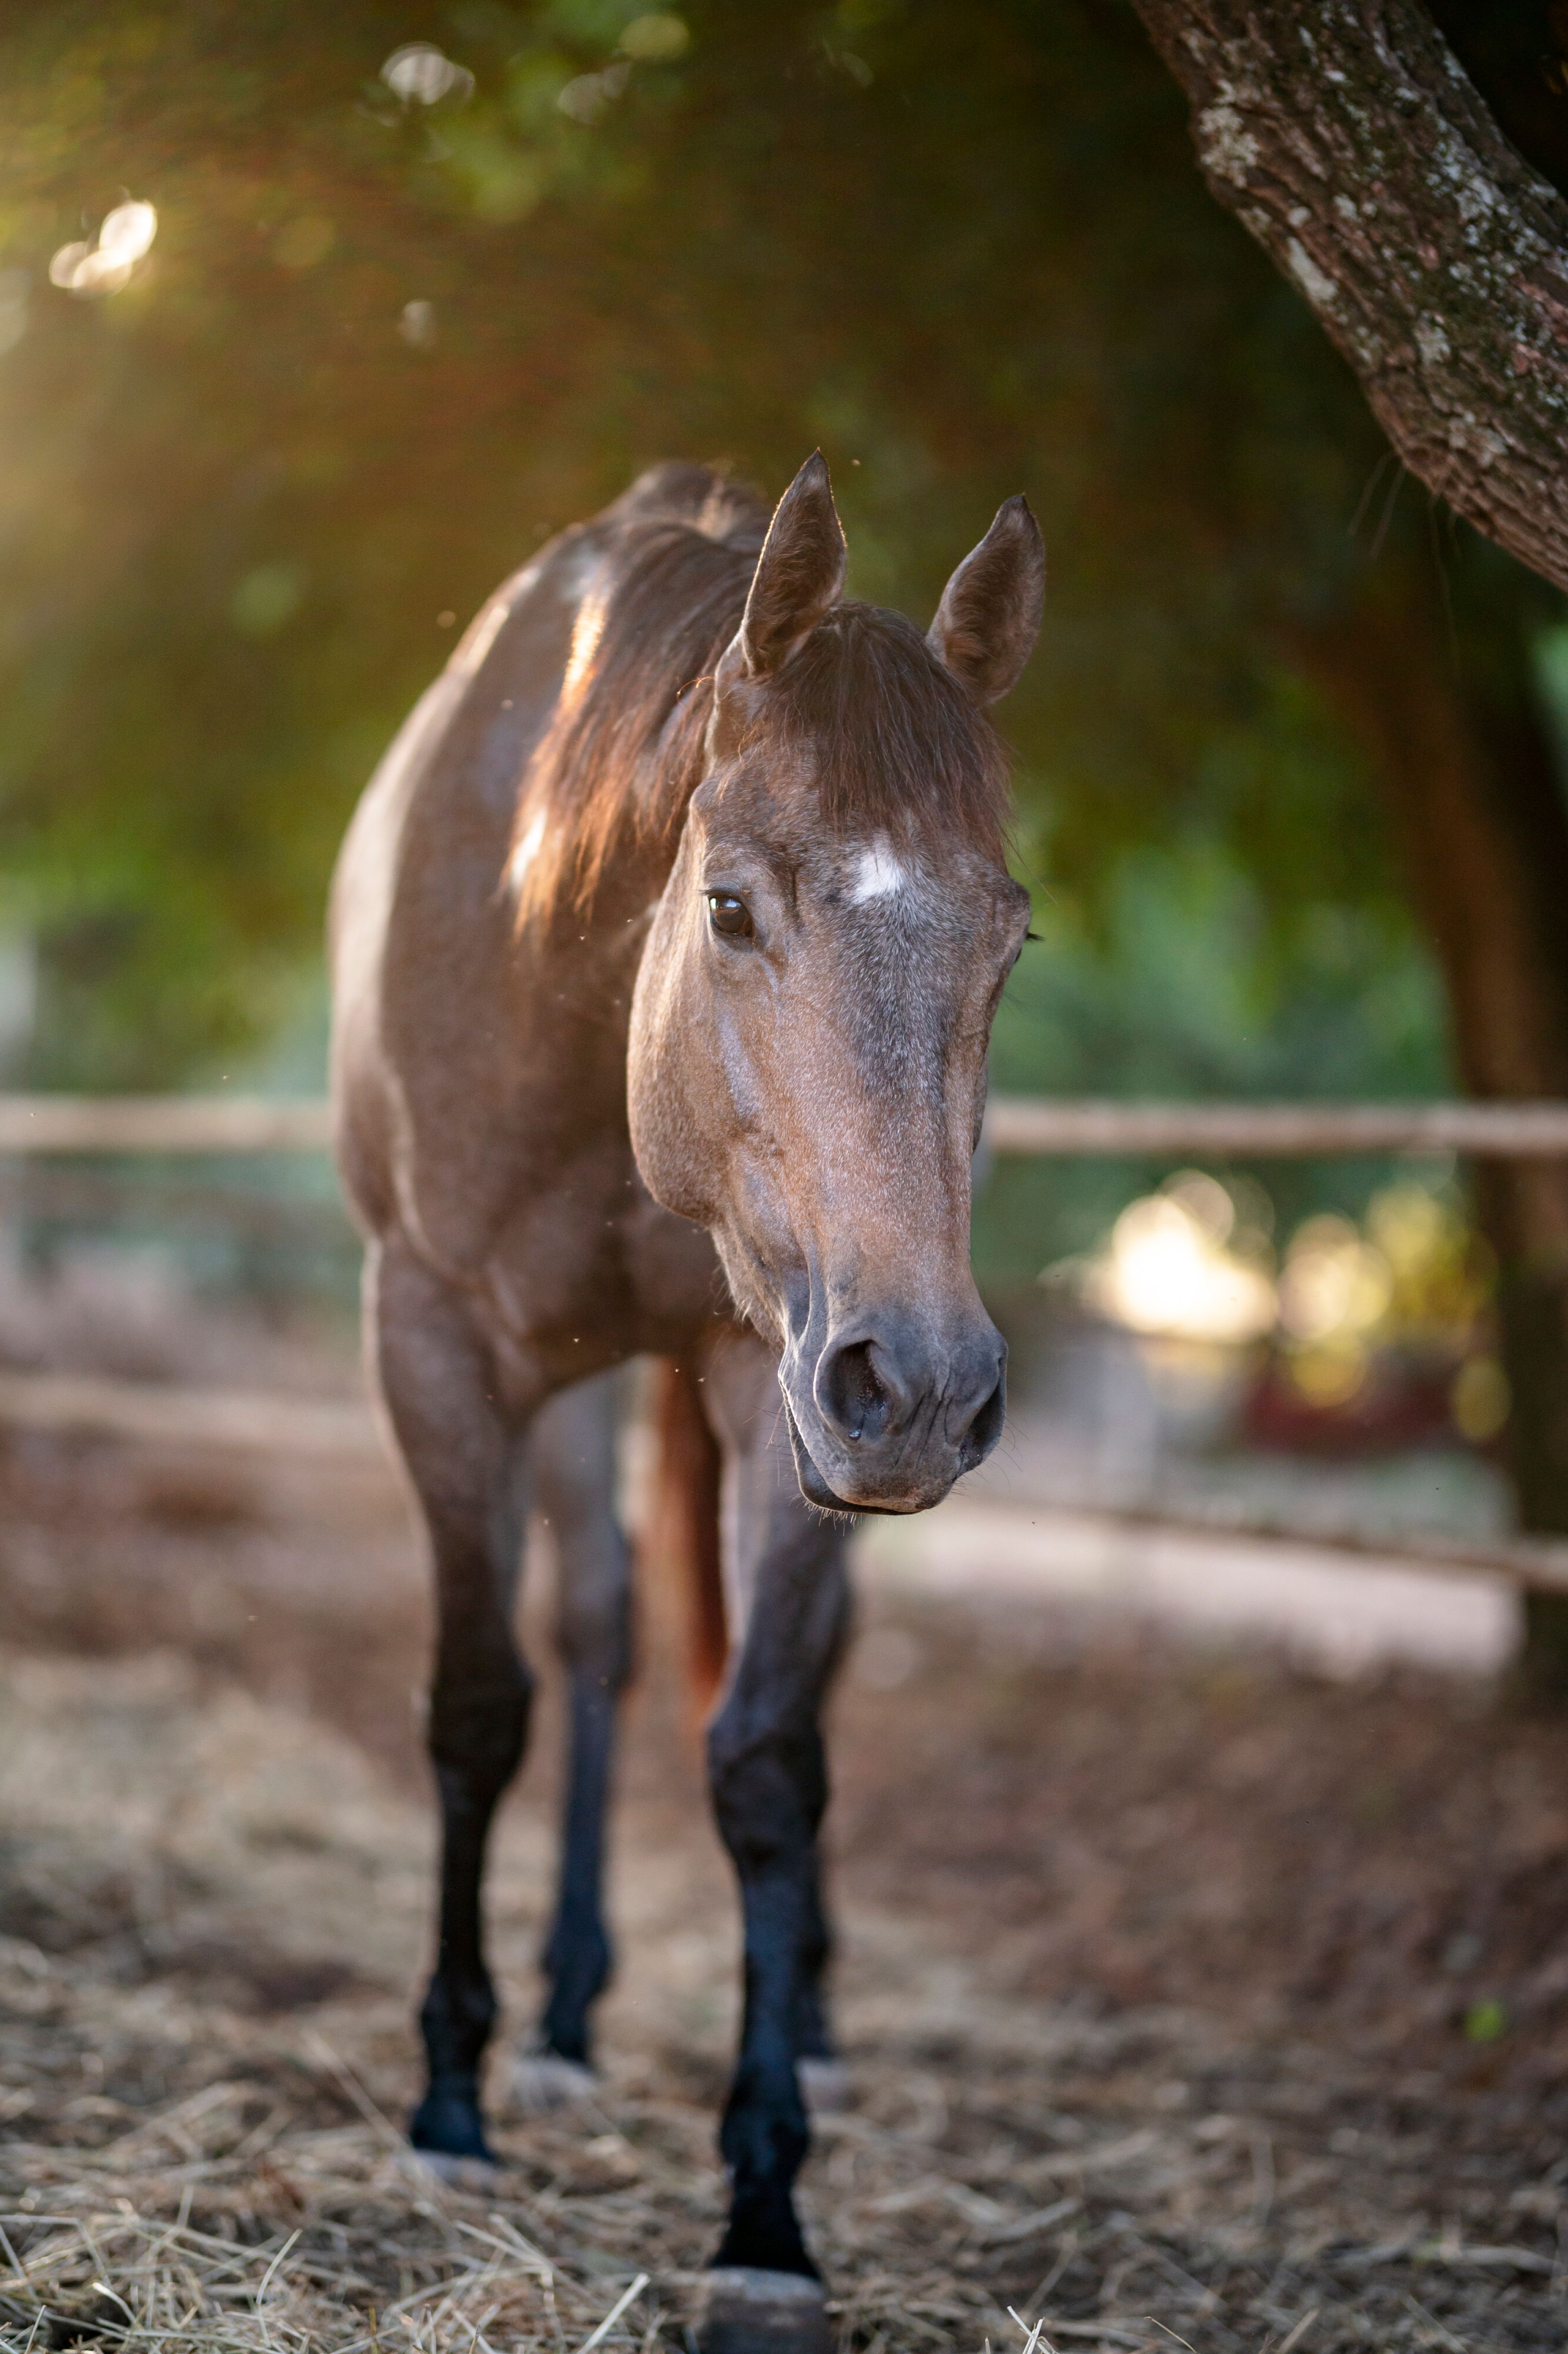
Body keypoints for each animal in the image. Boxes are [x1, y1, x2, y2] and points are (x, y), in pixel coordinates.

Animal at [328, 451, 1043, 2332]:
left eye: (1010, 943)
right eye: (730, 905)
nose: (929, 1390)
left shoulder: (775, 1380)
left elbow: (767, 1764)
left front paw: (766, 2213)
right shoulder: (432, 1337)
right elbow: (479, 1701)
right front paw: (449, 2101)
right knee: (589, 1631)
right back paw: (562, 2021)